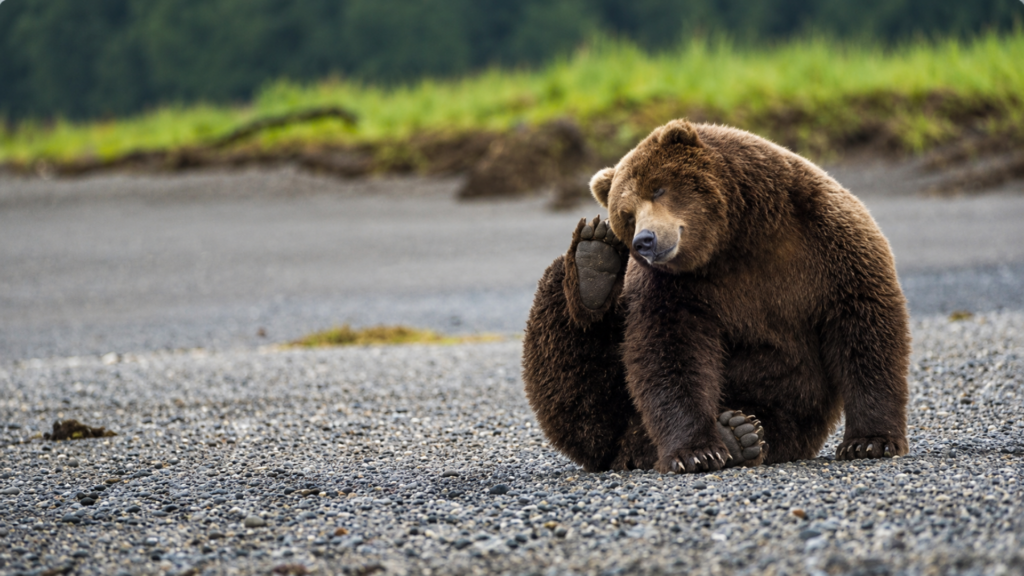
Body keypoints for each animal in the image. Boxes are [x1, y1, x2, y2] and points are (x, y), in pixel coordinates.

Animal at [522, 119, 910, 474]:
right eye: (626, 214)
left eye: (657, 189)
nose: (644, 240)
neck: (737, 240)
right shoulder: (678, 287)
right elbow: (669, 351)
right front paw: (697, 451)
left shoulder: (826, 242)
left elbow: (864, 326)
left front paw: (870, 441)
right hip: (603, 404)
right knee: (575, 374)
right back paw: (593, 262)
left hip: (789, 413)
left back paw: (741, 432)